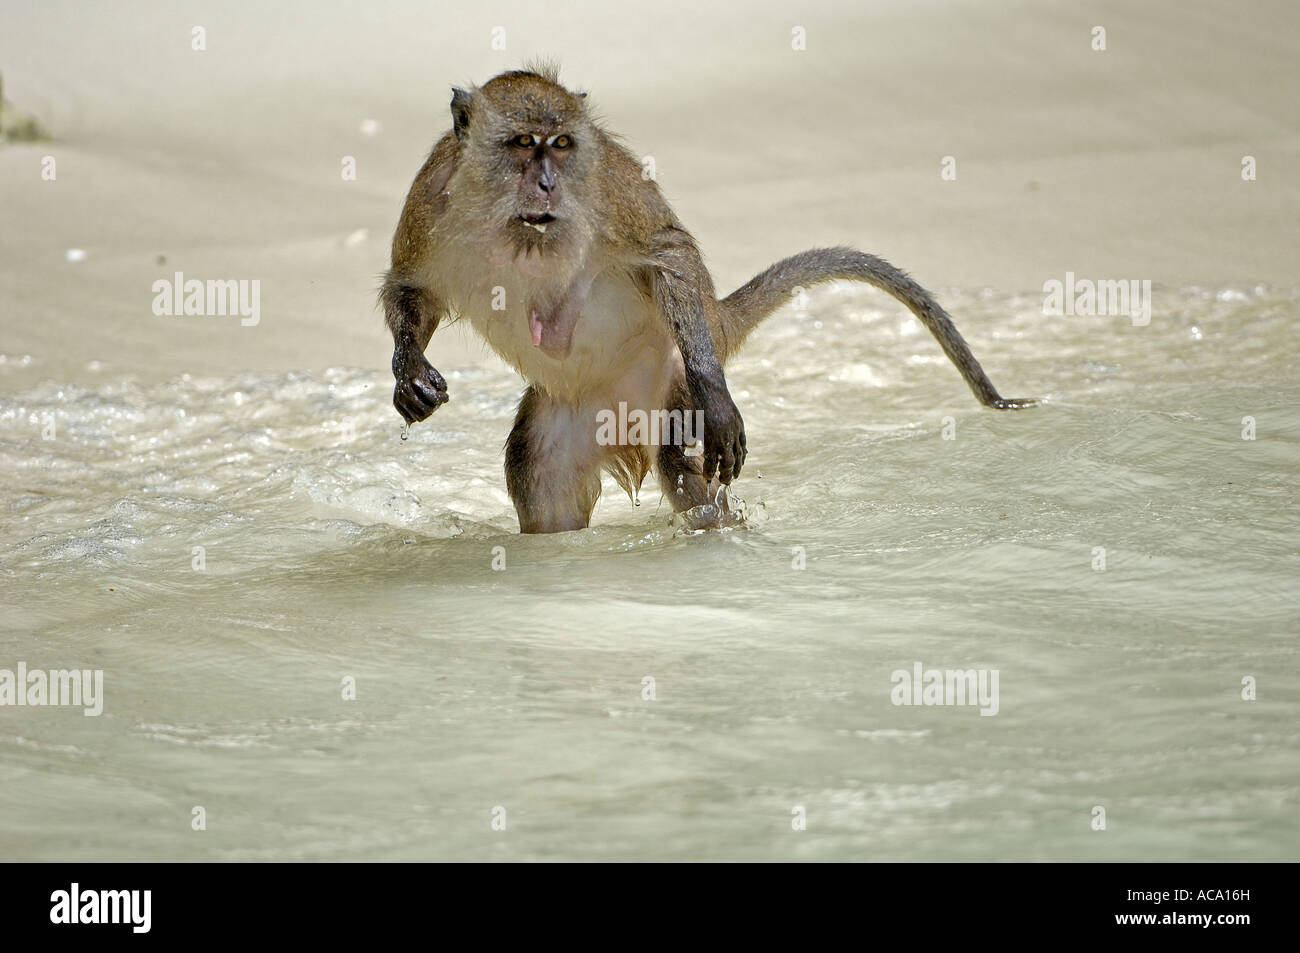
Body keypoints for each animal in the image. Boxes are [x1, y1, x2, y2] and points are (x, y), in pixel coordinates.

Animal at [380, 67, 1034, 534]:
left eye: (560, 144)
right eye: (522, 144)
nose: (547, 184)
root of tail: (716, 319)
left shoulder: (602, 186)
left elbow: (668, 253)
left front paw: (718, 405)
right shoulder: (429, 196)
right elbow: (412, 288)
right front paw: (410, 371)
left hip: (668, 378)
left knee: (680, 466)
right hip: (578, 409)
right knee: (538, 477)